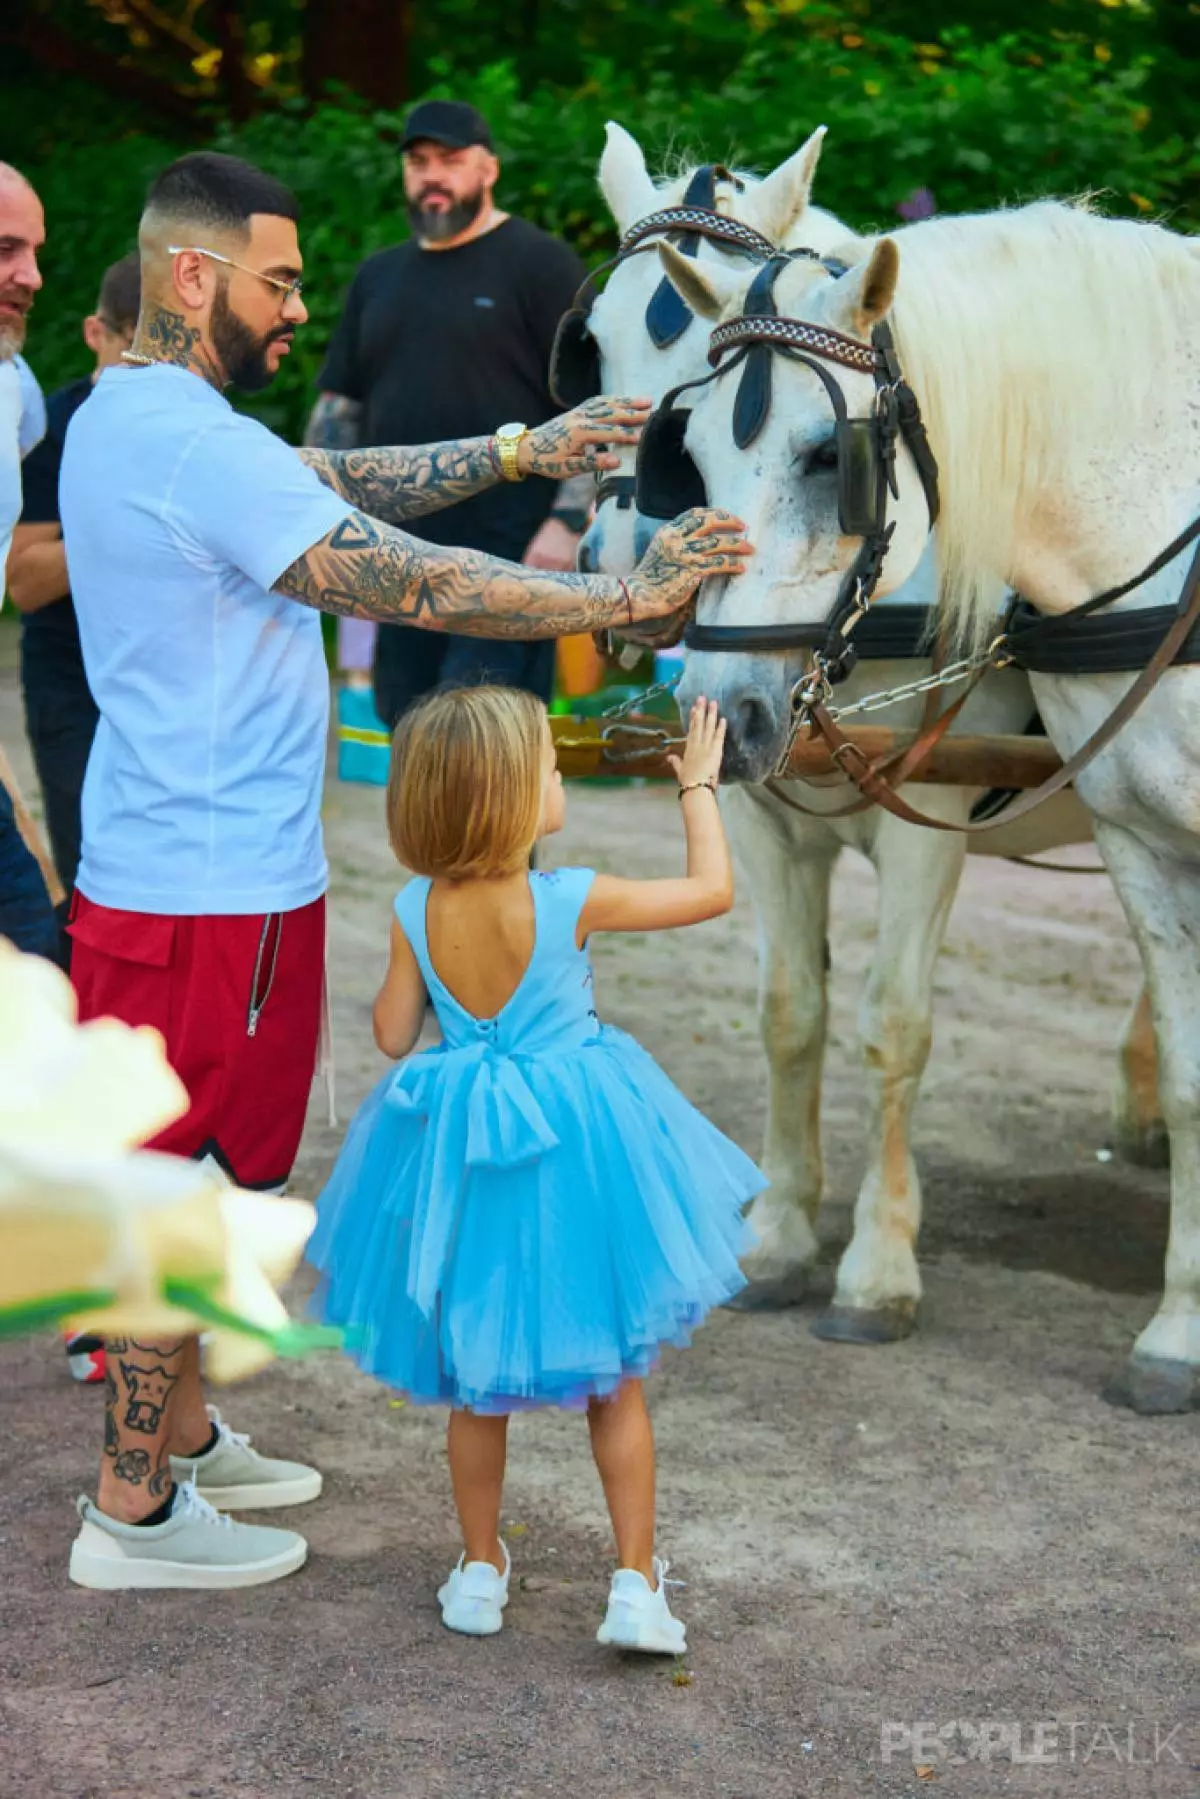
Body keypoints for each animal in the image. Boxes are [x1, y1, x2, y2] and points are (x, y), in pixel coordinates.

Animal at [586, 126, 1158, 1352]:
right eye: (596, 335)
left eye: (824, 454)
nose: (634, 554)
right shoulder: (755, 802)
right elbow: (789, 1012)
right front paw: (777, 1236)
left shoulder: (927, 814)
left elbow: (893, 1024)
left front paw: (877, 1266)